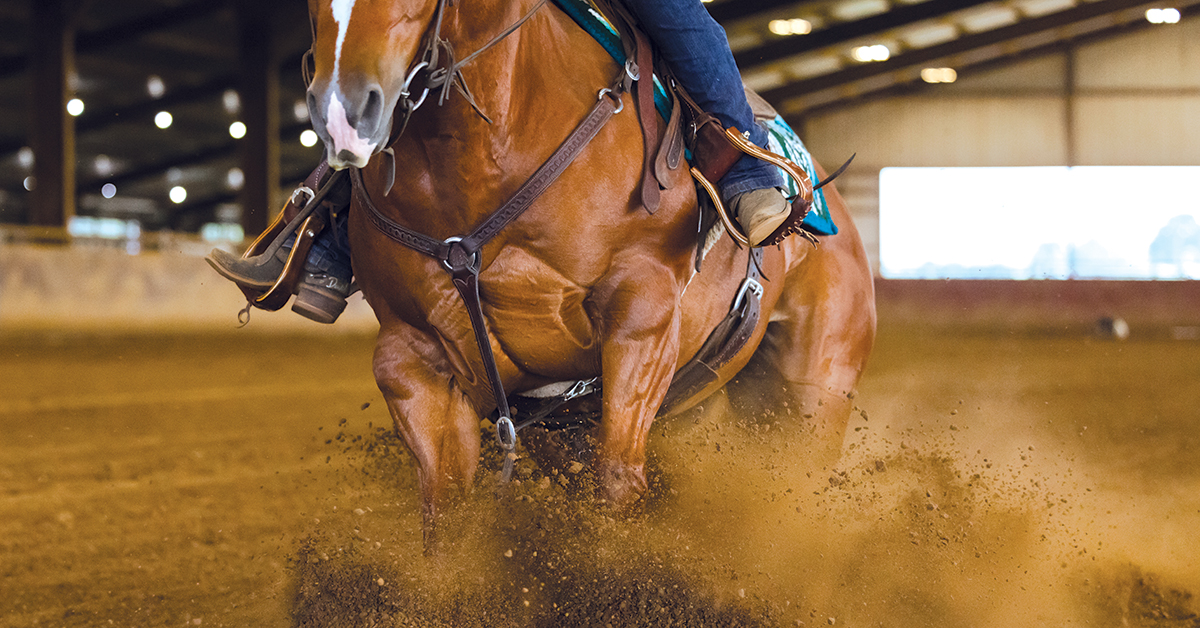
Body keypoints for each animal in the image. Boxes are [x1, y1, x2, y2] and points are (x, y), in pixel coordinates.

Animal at [303, 0, 876, 547]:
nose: (343, 114)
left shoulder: (640, 317)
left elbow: (618, 484)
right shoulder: (409, 357)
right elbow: (443, 516)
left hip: (811, 397)